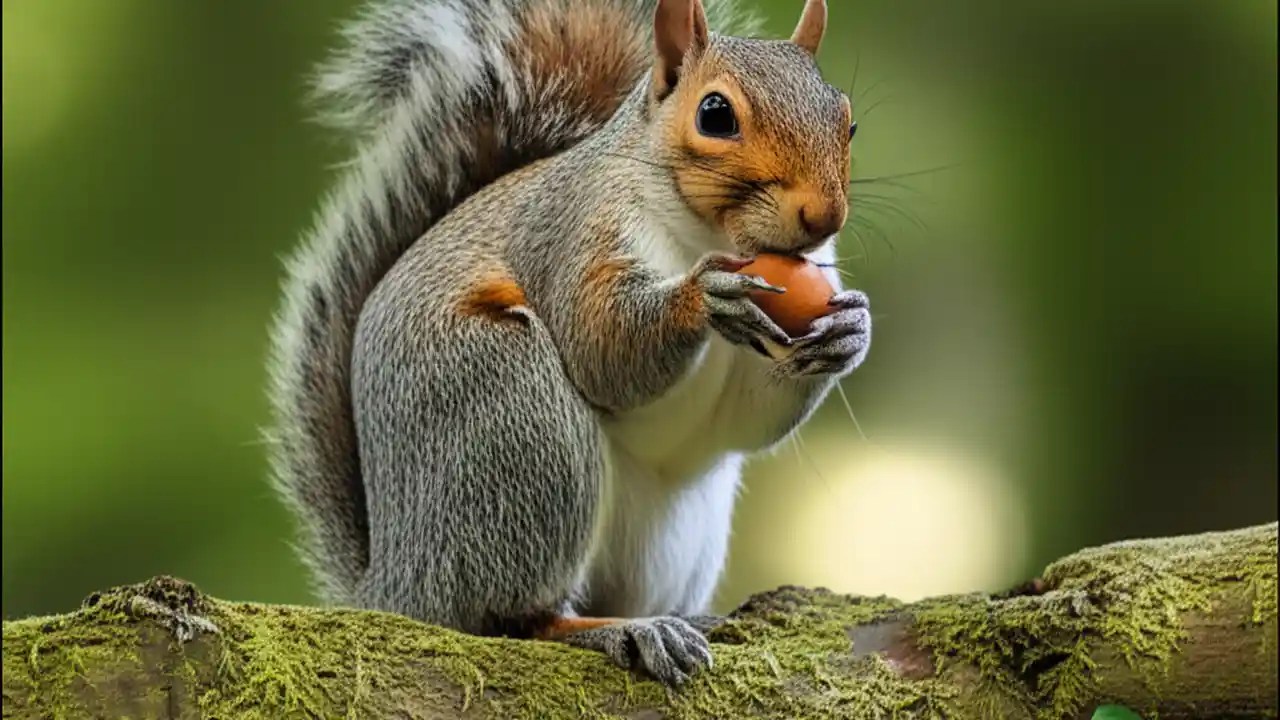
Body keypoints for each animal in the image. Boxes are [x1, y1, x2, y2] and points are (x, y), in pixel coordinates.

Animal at [267, 0, 870, 687]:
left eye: (848, 121)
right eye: (715, 115)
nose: (824, 217)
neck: (709, 236)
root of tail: (396, 587)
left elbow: (747, 420)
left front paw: (850, 333)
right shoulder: (578, 239)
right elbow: (601, 349)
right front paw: (702, 296)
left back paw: (680, 617)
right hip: (517, 426)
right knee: (515, 618)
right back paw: (623, 631)